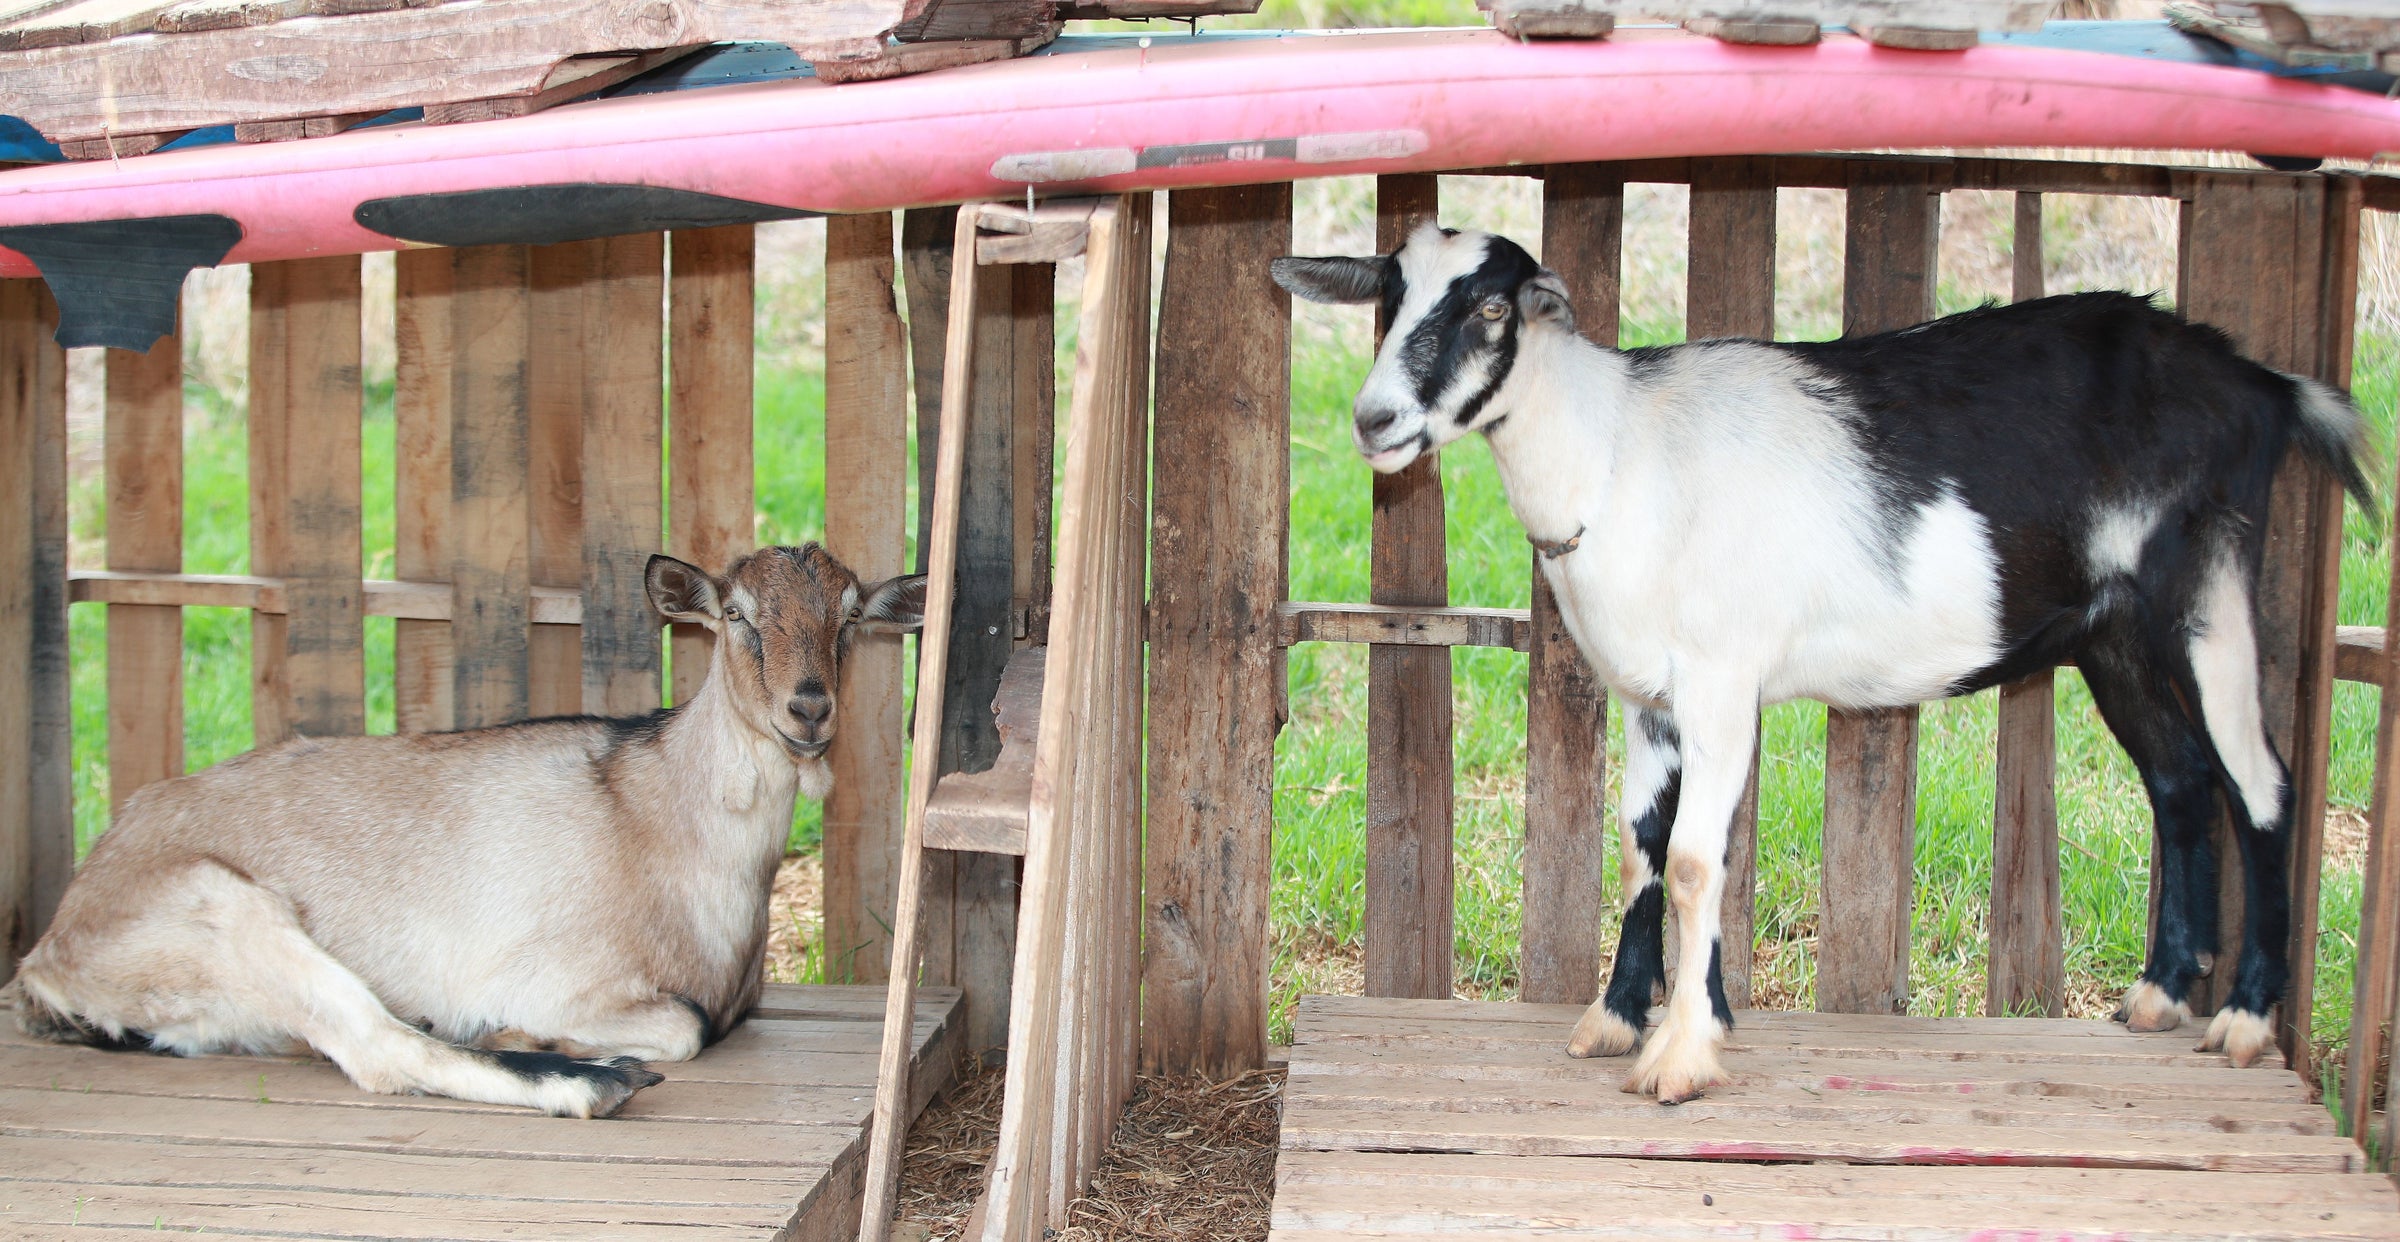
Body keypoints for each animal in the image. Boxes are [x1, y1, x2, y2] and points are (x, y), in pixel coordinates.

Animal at [7, 545, 923, 1118]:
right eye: (736, 615)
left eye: (849, 619)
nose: (809, 709)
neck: (658, 810)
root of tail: (54, 941)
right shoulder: (556, 974)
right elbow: (686, 1028)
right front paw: (524, 1030)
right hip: (219, 912)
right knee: (377, 1044)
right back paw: (587, 1081)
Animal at [1273, 224, 2374, 1104]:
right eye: (1387, 297)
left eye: (1493, 308)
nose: (1375, 421)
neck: (1619, 453)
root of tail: (2261, 386)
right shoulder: (1651, 701)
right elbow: (1643, 846)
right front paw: (1628, 1018)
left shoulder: (1722, 680)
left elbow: (1693, 858)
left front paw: (1680, 1057)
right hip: (2114, 631)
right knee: (2180, 778)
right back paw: (2159, 995)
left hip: (2208, 591)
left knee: (2260, 782)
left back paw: (2244, 1018)